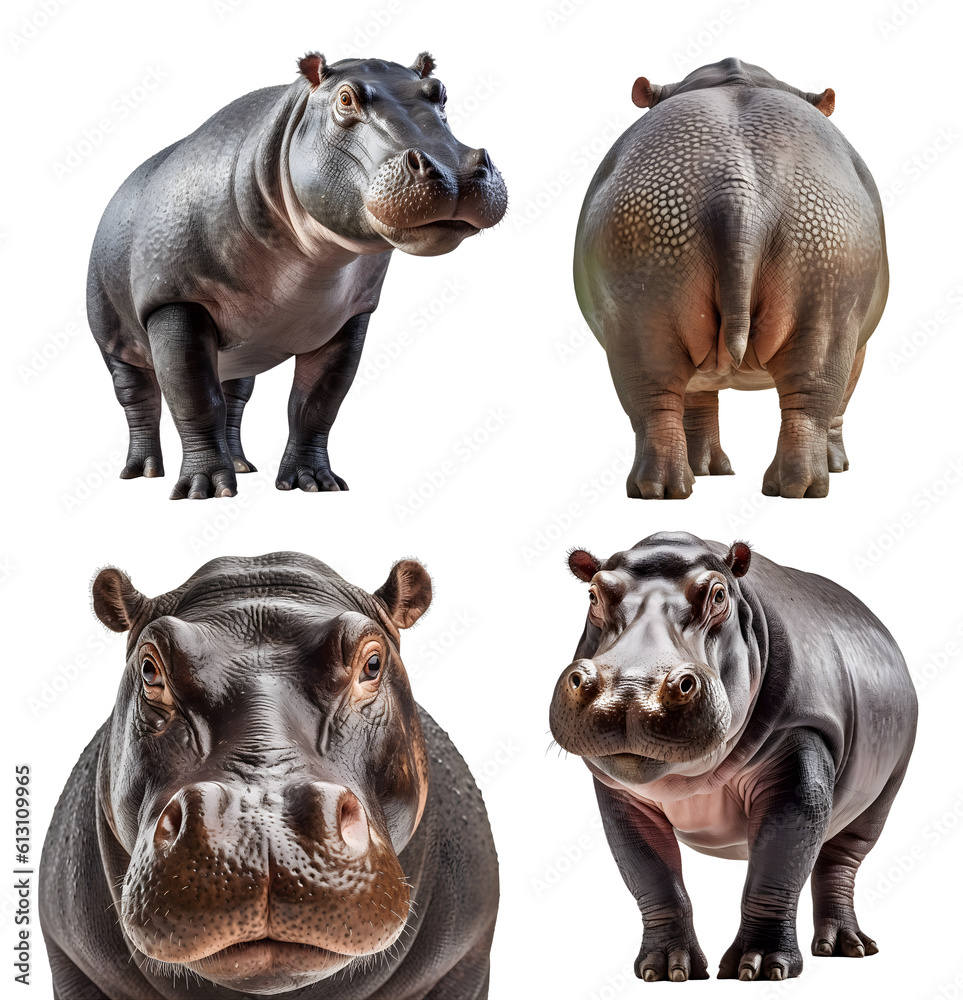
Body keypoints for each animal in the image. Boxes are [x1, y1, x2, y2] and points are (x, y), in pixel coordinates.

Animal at [89, 52, 507, 499]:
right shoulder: (174, 301)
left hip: (244, 350)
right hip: (116, 339)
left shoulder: (349, 318)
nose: (454, 172)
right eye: (346, 98)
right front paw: (205, 490)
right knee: (139, 398)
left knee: (235, 396)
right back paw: (143, 472)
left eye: (441, 93)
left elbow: (316, 403)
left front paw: (315, 483)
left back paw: (241, 465)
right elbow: (194, 398)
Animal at [549, 532, 916, 982]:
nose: (630, 691)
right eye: (594, 593)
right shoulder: (620, 794)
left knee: (840, 861)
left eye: (719, 594)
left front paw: (759, 967)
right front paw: (665, 970)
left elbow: (775, 868)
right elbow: (651, 874)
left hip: (884, 792)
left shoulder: (799, 739)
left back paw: (849, 949)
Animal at [573, 58, 888, 499]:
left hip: (642, 303)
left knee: (655, 394)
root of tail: (737, 191)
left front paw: (707, 471)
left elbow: (697, 397)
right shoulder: (858, 343)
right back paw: (798, 488)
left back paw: (663, 489)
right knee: (811, 396)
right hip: (827, 280)